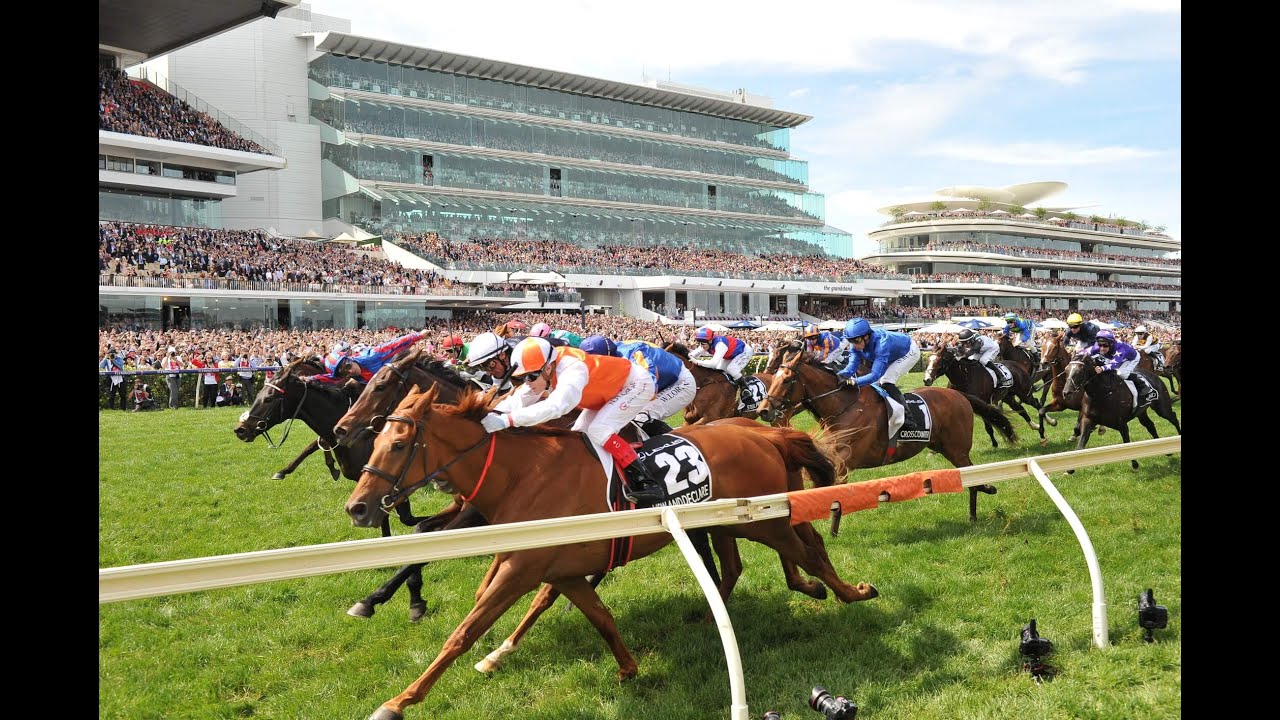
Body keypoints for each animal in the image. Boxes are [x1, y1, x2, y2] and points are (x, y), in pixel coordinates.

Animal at [345, 385, 877, 720]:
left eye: (397, 444)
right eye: (375, 439)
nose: (358, 507)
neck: (522, 474)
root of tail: (763, 432)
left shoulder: (521, 568)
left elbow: (464, 632)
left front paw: (398, 702)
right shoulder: (555, 567)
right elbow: (597, 614)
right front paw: (627, 667)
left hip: (764, 520)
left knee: (809, 553)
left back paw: (852, 592)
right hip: (735, 520)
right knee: (761, 559)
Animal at [757, 346, 1015, 521]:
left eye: (787, 380)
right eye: (772, 378)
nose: (763, 410)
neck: (844, 406)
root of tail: (959, 395)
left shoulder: (846, 459)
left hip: (957, 449)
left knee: (972, 476)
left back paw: (979, 503)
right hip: (943, 447)